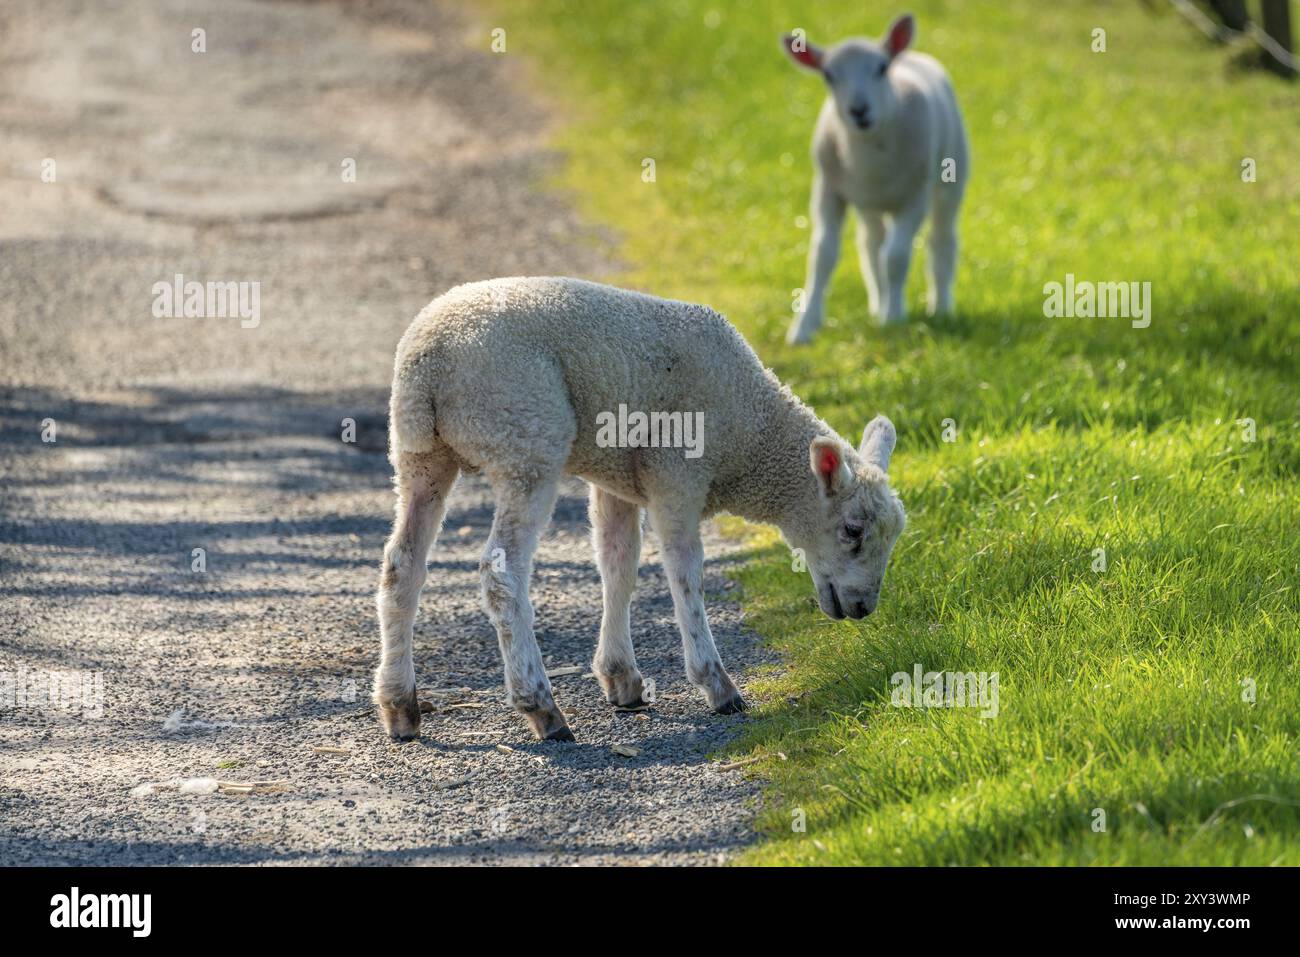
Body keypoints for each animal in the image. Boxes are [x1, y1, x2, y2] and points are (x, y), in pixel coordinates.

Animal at [374, 277, 906, 743]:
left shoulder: (618, 479)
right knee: (501, 573)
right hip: (523, 437)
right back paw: (542, 707)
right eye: (852, 530)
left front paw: (621, 677)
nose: (863, 608)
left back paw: (401, 706)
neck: (751, 434)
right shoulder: (678, 473)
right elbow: (685, 574)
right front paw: (716, 684)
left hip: (420, 454)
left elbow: (619, 567)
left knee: (402, 566)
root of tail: (430, 361)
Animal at [782, 13, 969, 343]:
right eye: (828, 75)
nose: (859, 111)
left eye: (881, 68)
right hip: (867, 204)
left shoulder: (913, 199)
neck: (869, 159)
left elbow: (896, 257)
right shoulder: (828, 190)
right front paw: (804, 327)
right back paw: (877, 304)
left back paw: (941, 307)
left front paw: (893, 318)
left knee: (941, 240)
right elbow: (822, 255)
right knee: (871, 243)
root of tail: (909, 54)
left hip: (950, 178)